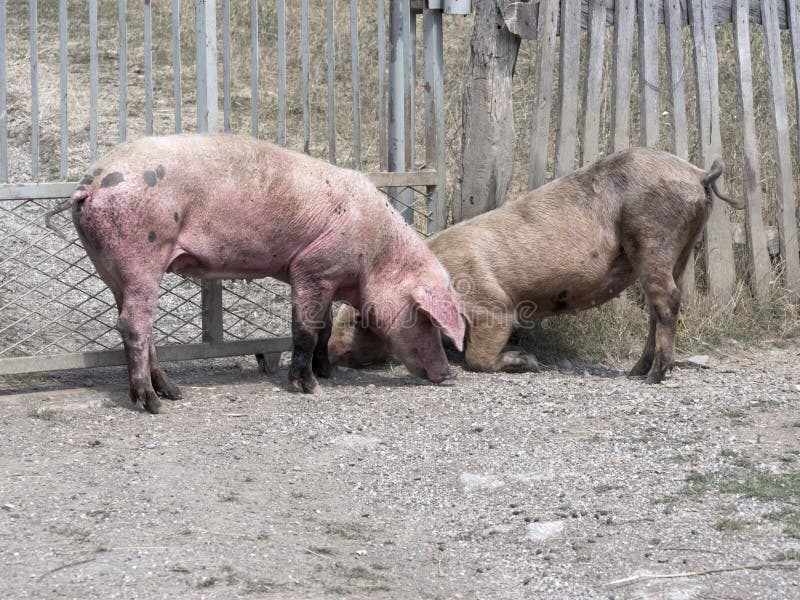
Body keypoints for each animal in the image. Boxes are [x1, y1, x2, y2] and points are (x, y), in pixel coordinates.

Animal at [45, 134, 466, 413]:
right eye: (424, 318)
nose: (448, 374)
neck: (376, 254)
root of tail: (90, 184)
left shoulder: (326, 276)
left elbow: (325, 327)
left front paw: (327, 373)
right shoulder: (312, 267)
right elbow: (305, 329)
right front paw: (309, 387)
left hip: (107, 263)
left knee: (136, 325)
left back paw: (174, 392)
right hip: (141, 251)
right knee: (133, 324)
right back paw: (154, 404)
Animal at [329, 147, 744, 384]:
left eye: (357, 320)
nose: (331, 353)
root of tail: (698, 173)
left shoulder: (492, 306)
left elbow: (478, 356)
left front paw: (529, 362)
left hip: (654, 233)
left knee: (666, 301)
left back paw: (653, 377)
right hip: (683, 242)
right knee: (664, 304)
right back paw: (637, 371)